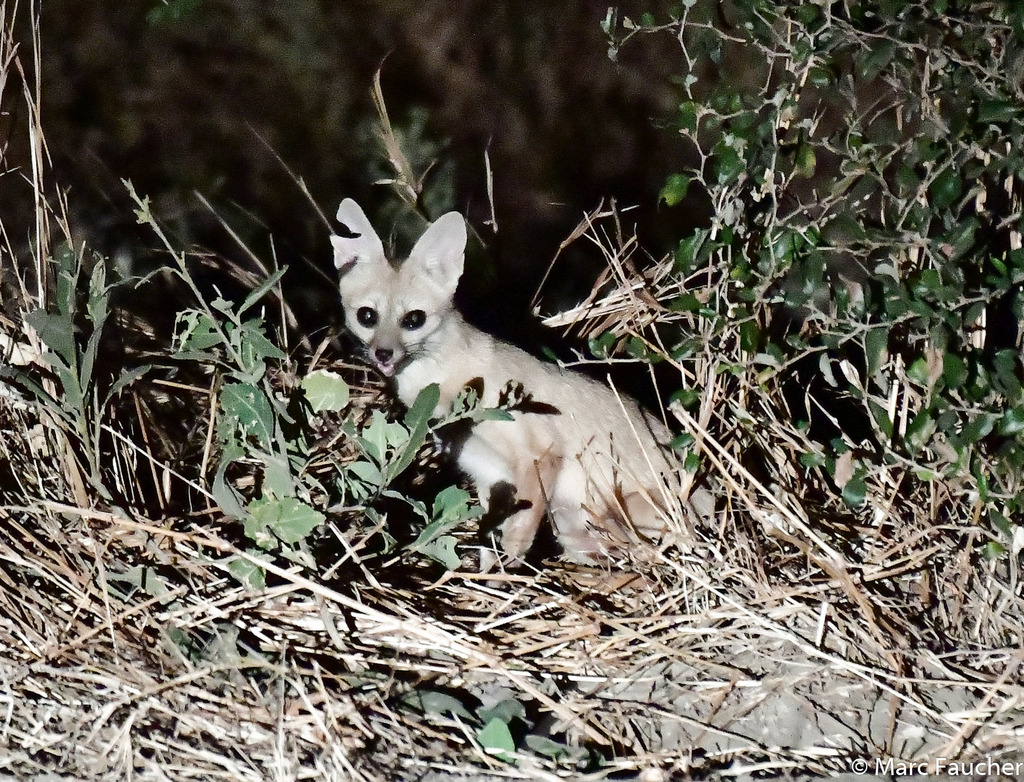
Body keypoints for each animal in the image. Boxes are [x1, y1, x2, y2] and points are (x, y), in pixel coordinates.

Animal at [331, 199, 679, 564]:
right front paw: (486, 570)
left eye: (414, 319)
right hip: (572, 523)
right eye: (367, 316)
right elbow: (491, 536)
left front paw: (507, 571)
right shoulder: (489, 474)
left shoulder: (541, 454)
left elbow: (518, 535)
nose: (383, 353)